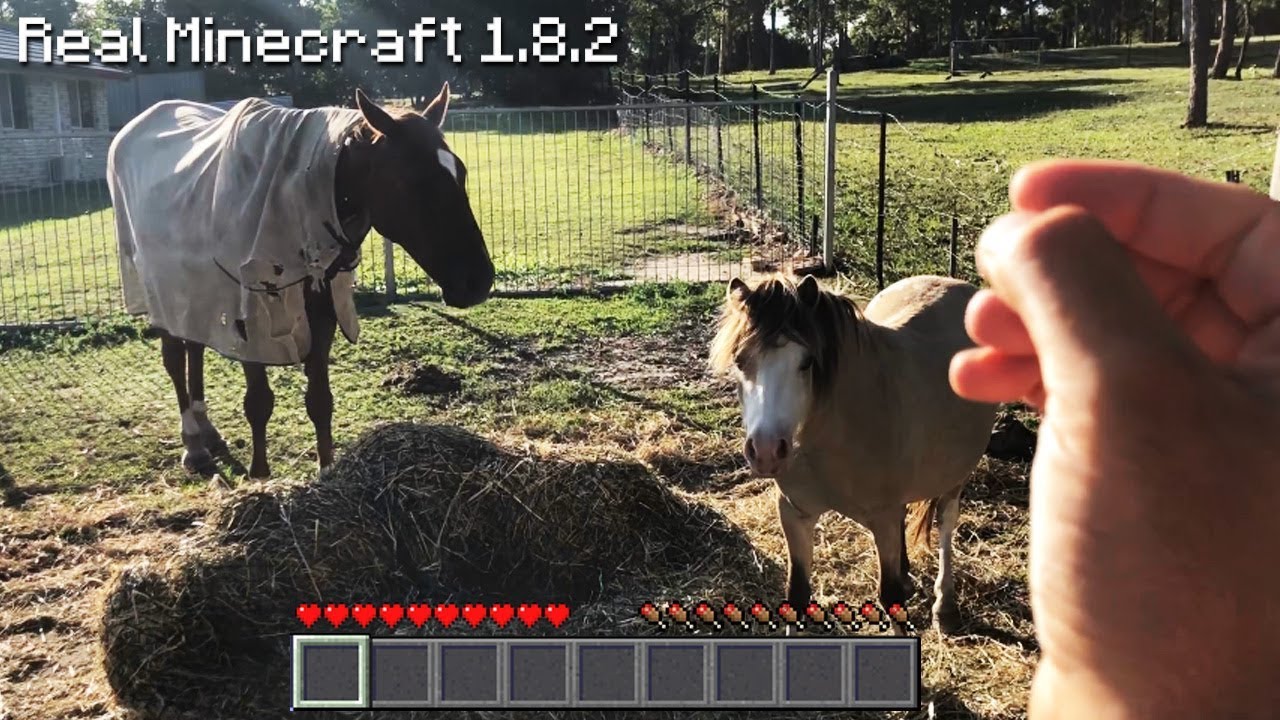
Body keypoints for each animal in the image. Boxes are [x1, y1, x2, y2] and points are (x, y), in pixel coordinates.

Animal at [108, 84, 494, 480]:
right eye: (411, 180)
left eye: (460, 172)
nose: (477, 281)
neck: (296, 199)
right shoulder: (251, 317)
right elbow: (259, 402)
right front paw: (260, 476)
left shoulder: (322, 306)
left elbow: (320, 400)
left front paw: (327, 471)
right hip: (158, 287)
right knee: (174, 357)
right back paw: (193, 443)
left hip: (194, 287)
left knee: (195, 347)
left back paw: (207, 430)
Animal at [709, 272, 997, 634]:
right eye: (740, 360)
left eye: (807, 362)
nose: (766, 450)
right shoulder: (794, 512)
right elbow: (796, 594)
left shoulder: (883, 518)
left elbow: (890, 596)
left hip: (956, 473)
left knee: (947, 521)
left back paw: (945, 607)